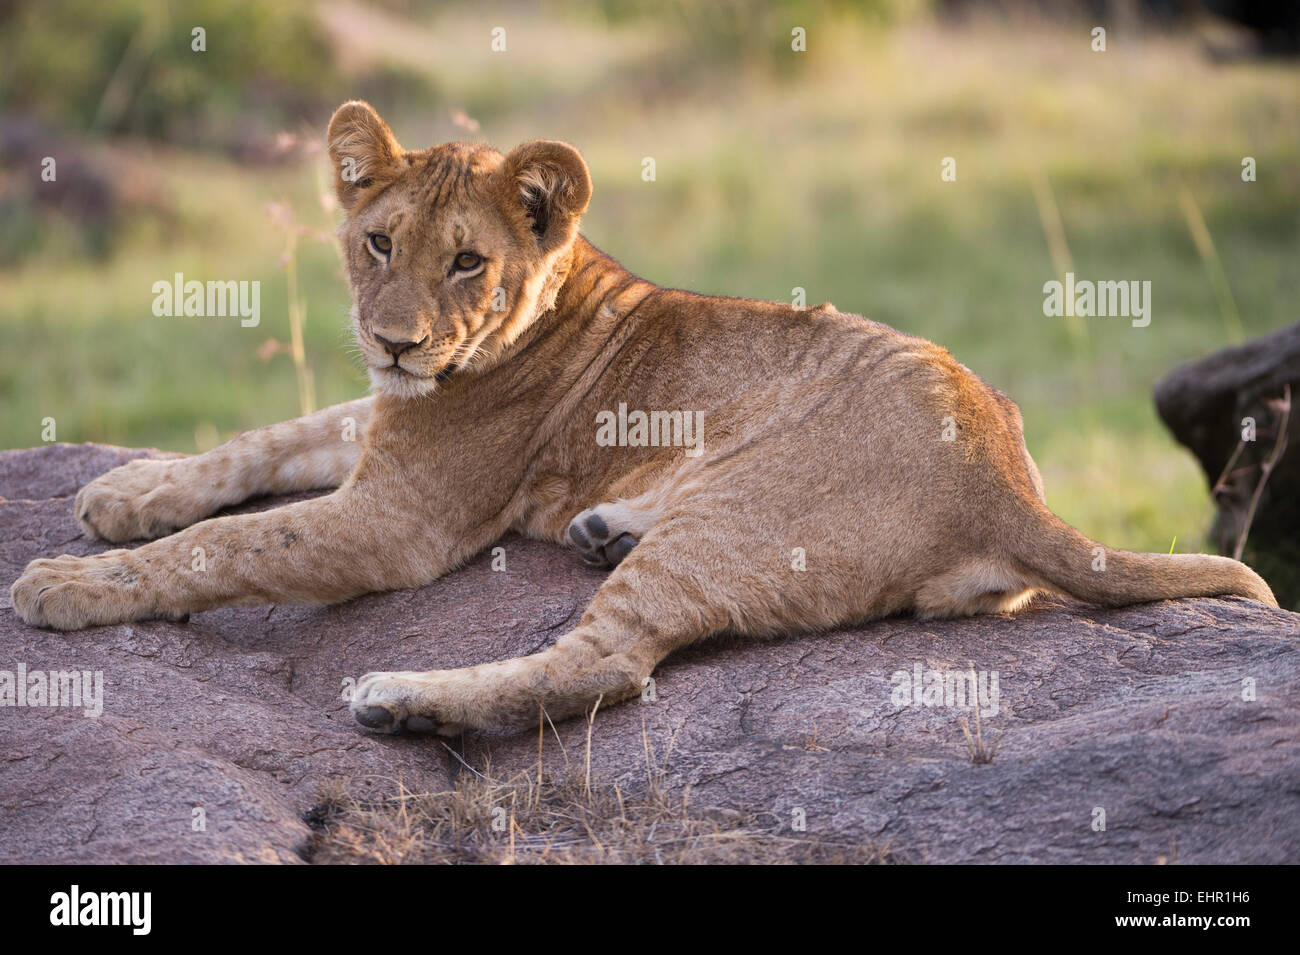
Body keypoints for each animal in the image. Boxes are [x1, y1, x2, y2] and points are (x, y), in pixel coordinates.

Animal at [11, 101, 1277, 736]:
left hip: (728, 511)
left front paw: (63, 582)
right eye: (377, 242)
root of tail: (1006, 479)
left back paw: (404, 701)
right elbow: (257, 444)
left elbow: (226, 545)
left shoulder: (398, 520)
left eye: (466, 261)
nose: (398, 341)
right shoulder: (380, 428)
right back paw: (598, 528)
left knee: (605, 669)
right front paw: (120, 491)